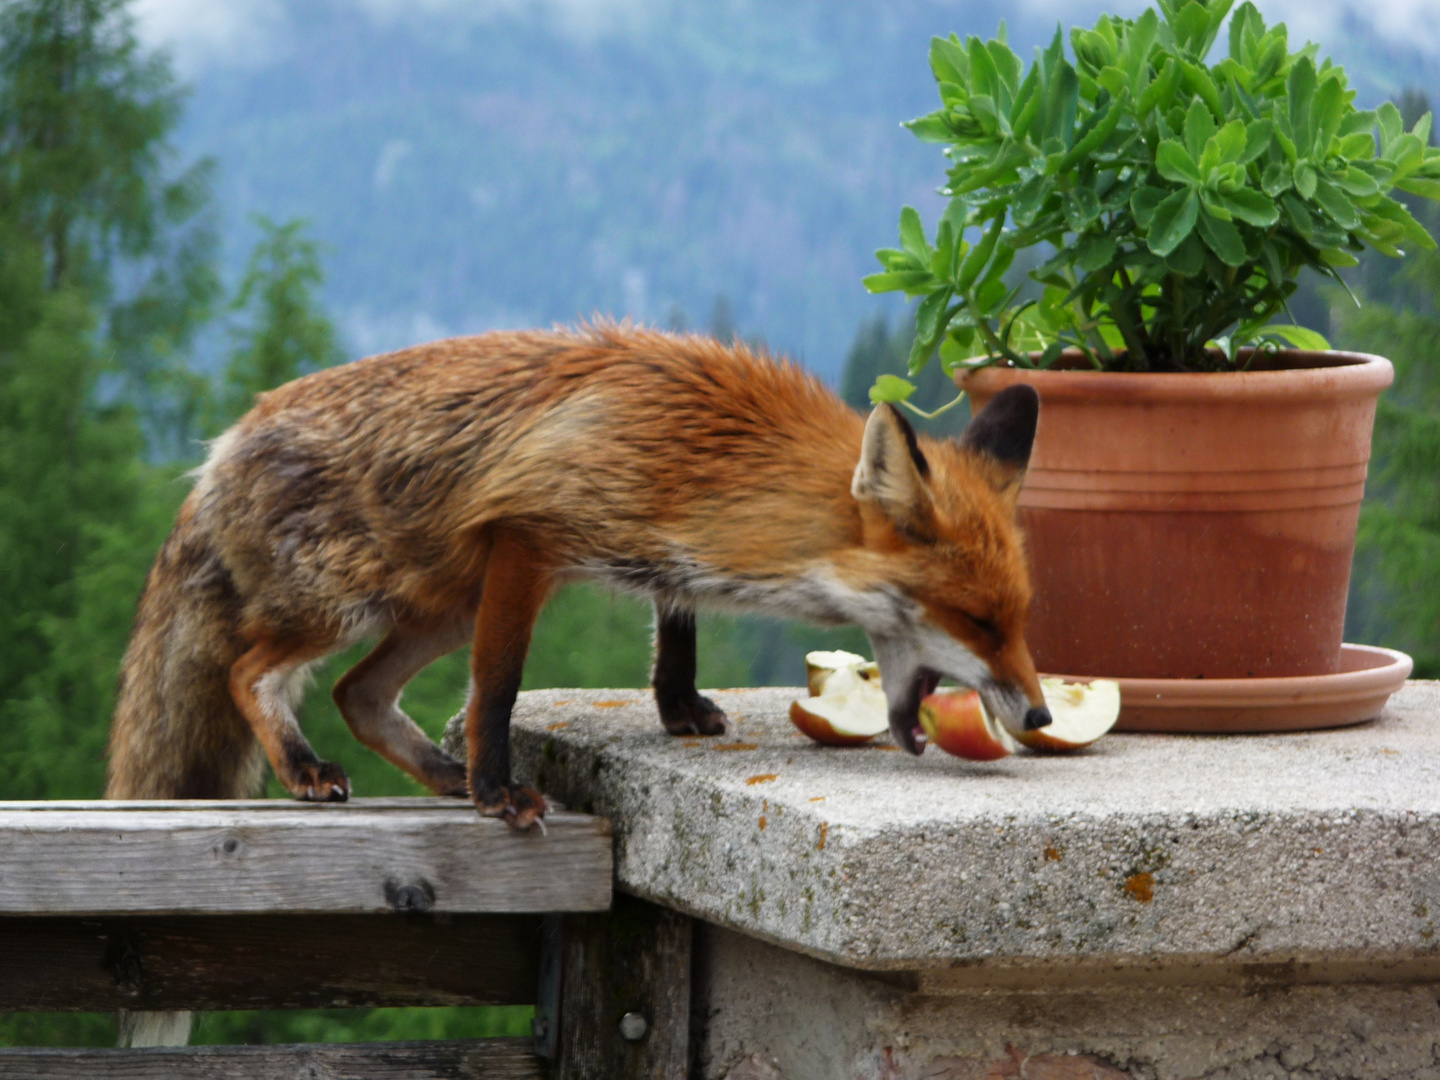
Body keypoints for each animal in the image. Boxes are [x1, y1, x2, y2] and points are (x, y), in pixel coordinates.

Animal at [106, 324, 1050, 829]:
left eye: (1019, 617)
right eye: (976, 620)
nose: (1041, 713)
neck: (716, 454)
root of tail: (217, 452)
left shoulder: (657, 538)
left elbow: (676, 622)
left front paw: (677, 707)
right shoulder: (530, 543)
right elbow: (498, 688)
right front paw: (497, 791)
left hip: (443, 608)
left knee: (357, 695)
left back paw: (439, 775)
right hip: (350, 604)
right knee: (251, 671)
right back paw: (310, 768)